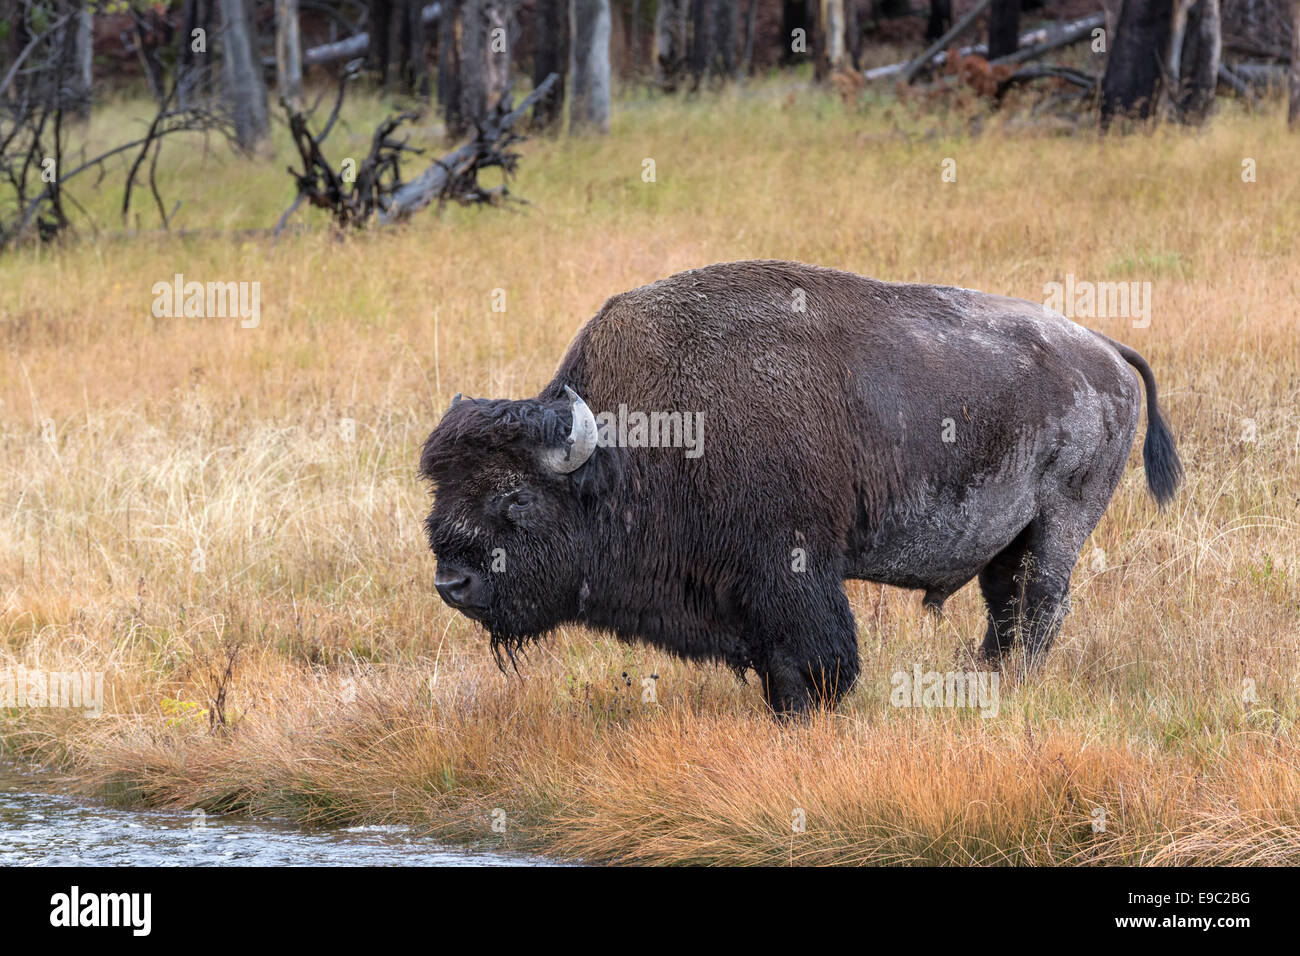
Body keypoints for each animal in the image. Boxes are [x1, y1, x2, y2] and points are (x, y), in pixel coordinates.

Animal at [419, 260, 1182, 715]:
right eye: (438, 495)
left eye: (516, 498)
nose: (451, 582)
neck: (632, 446)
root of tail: (1105, 351)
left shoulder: (791, 568)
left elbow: (815, 657)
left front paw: (806, 710)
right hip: (1009, 536)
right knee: (1006, 605)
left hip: (1061, 521)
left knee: (1038, 604)